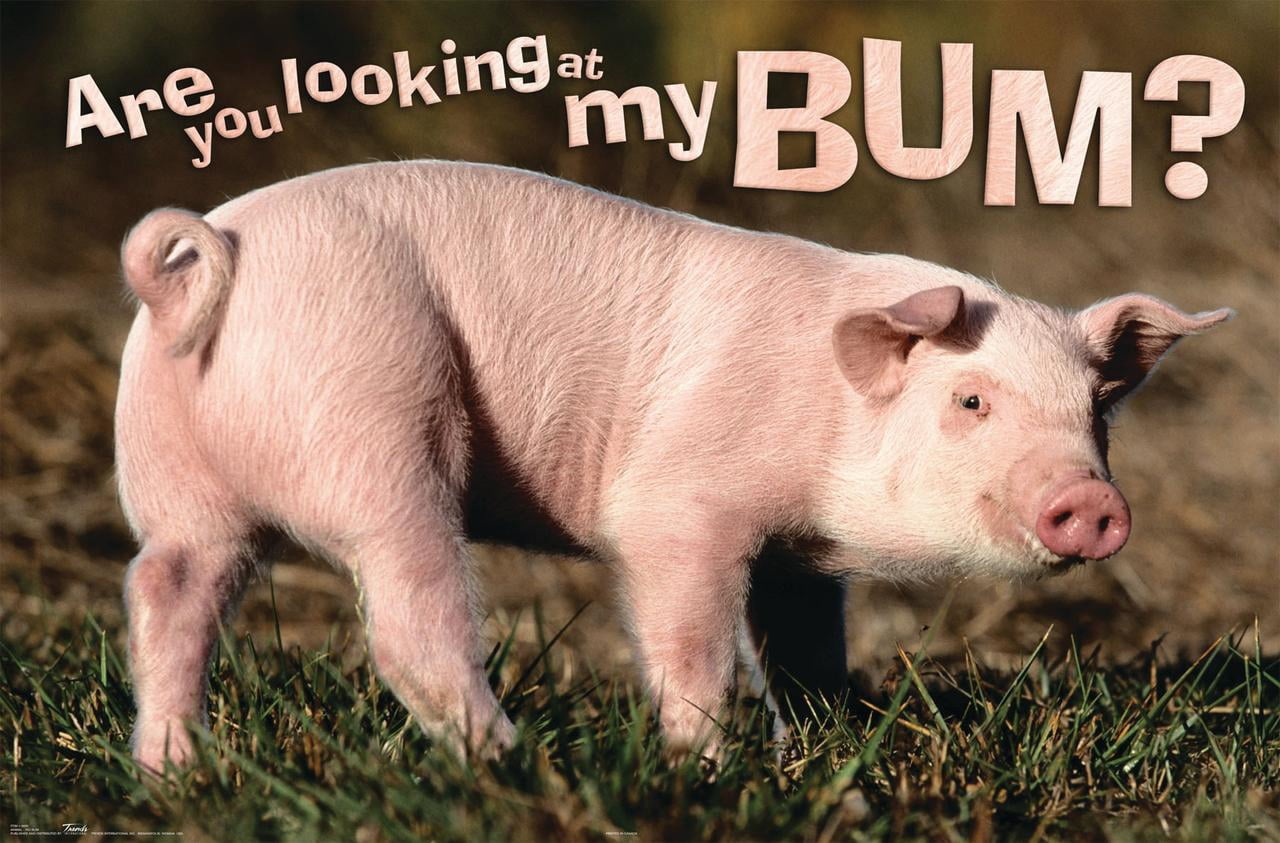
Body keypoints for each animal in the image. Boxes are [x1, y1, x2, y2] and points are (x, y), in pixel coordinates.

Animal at [114, 160, 1231, 771]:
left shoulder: (797, 554)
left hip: (178, 478)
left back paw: (176, 773)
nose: (1090, 501)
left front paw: (817, 747)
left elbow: (803, 647)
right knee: (408, 616)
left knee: (168, 584)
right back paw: (515, 763)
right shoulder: (677, 507)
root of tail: (215, 259)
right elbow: (692, 641)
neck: (827, 416)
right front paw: (706, 764)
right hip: (373, 418)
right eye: (970, 401)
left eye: (1096, 412)